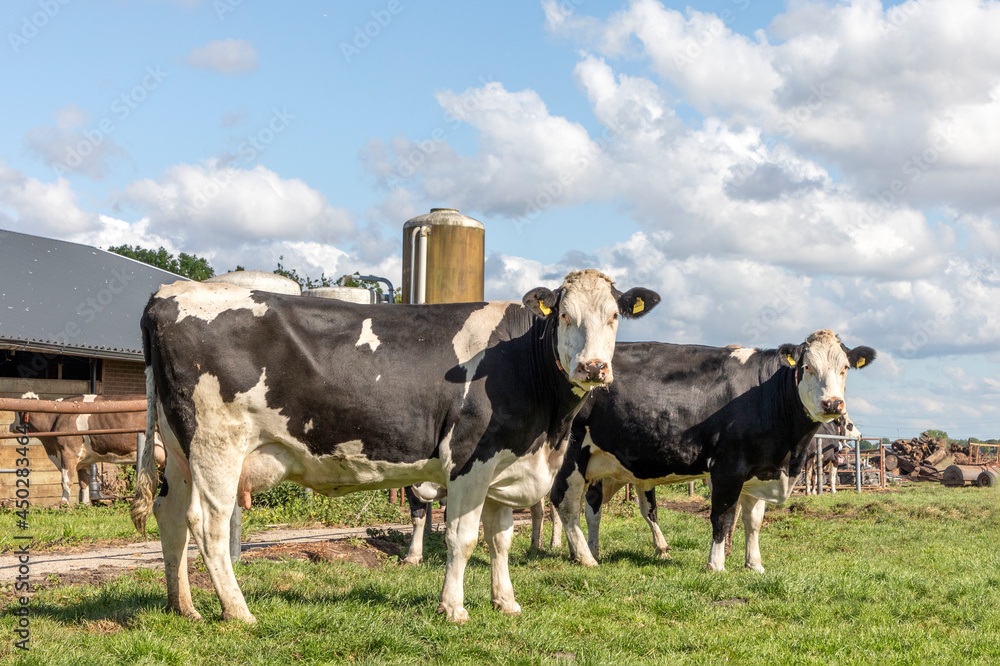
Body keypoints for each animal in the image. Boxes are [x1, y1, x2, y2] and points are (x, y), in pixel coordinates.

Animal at [11, 392, 164, 505]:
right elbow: (84, 483)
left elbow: (66, 481)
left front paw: (63, 504)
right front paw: (84, 505)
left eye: (17, 412)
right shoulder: (84, 460)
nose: (11, 426)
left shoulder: (68, 452)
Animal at [131, 270, 659, 623]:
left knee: (171, 515)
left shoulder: (501, 462)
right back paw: (238, 612)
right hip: (215, 444)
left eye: (614, 316)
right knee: (210, 526)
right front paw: (454, 608)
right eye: (565, 315)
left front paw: (505, 602)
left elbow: (501, 539)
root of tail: (166, 294)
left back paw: (185, 607)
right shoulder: (469, 457)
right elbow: (463, 538)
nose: (593, 368)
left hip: (178, 449)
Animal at [547, 330, 875, 573]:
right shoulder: (728, 467)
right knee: (564, 501)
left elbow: (753, 521)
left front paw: (754, 565)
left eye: (845, 368)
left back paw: (591, 550)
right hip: (572, 451)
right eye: (807, 367)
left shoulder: (759, 469)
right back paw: (585, 557)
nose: (832, 403)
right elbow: (723, 516)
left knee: (592, 504)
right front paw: (716, 564)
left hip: (603, 463)